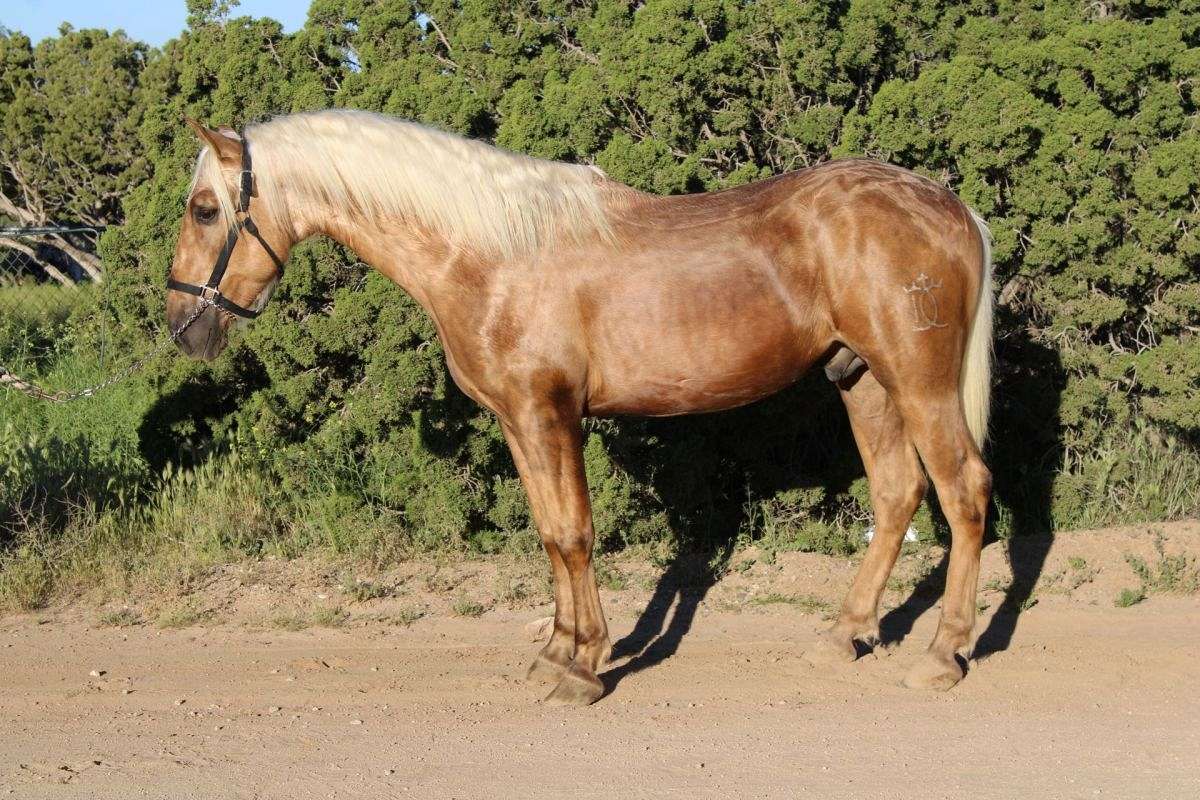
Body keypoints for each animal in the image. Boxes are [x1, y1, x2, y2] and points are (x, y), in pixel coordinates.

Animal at [168, 109, 993, 705]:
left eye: (205, 209)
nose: (183, 327)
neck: (494, 254)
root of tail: (953, 207)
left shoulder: (548, 413)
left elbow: (573, 535)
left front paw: (583, 667)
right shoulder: (518, 420)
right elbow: (549, 534)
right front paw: (560, 649)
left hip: (918, 382)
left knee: (964, 492)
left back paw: (943, 654)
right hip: (864, 381)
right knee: (896, 495)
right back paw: (844, 634)